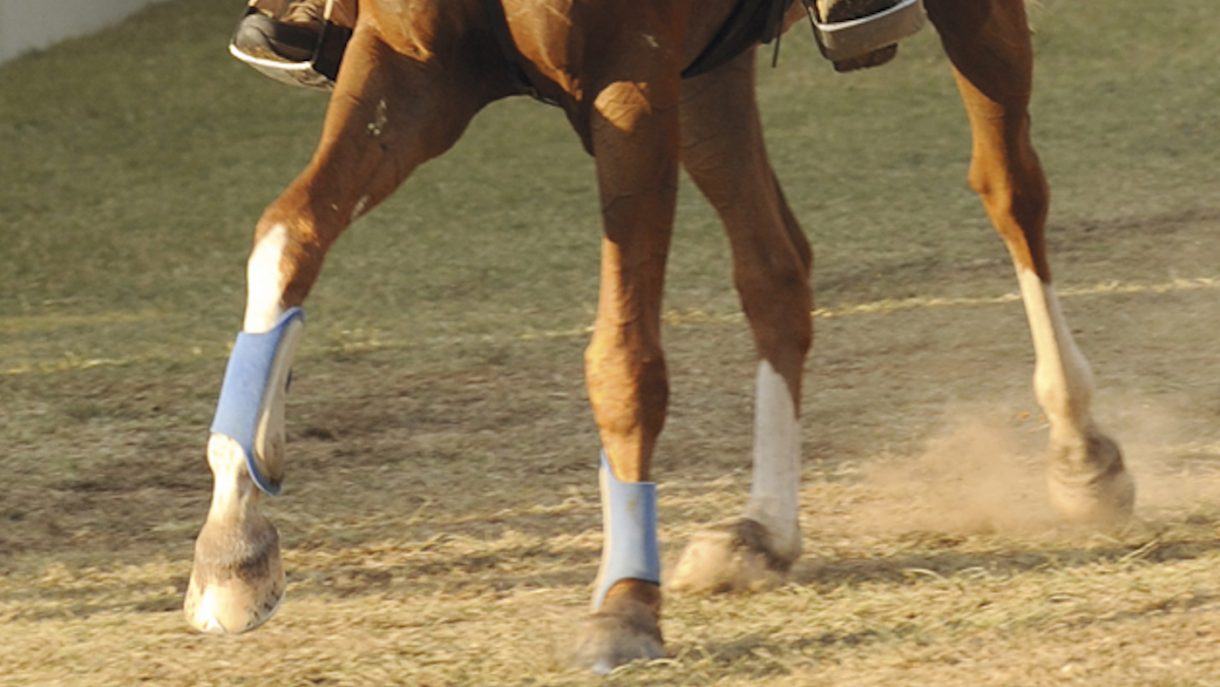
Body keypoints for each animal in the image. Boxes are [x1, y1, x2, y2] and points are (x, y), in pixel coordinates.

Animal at [183, 0, 1134, 673]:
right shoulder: (407, 68)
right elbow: (288, 236)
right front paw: (234, 547)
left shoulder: (631, 85)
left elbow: (624, 360)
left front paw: (626, 604)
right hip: (710, 79)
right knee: (776, 270)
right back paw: (765, 529)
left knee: (1011, 191)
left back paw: (1082, 451)